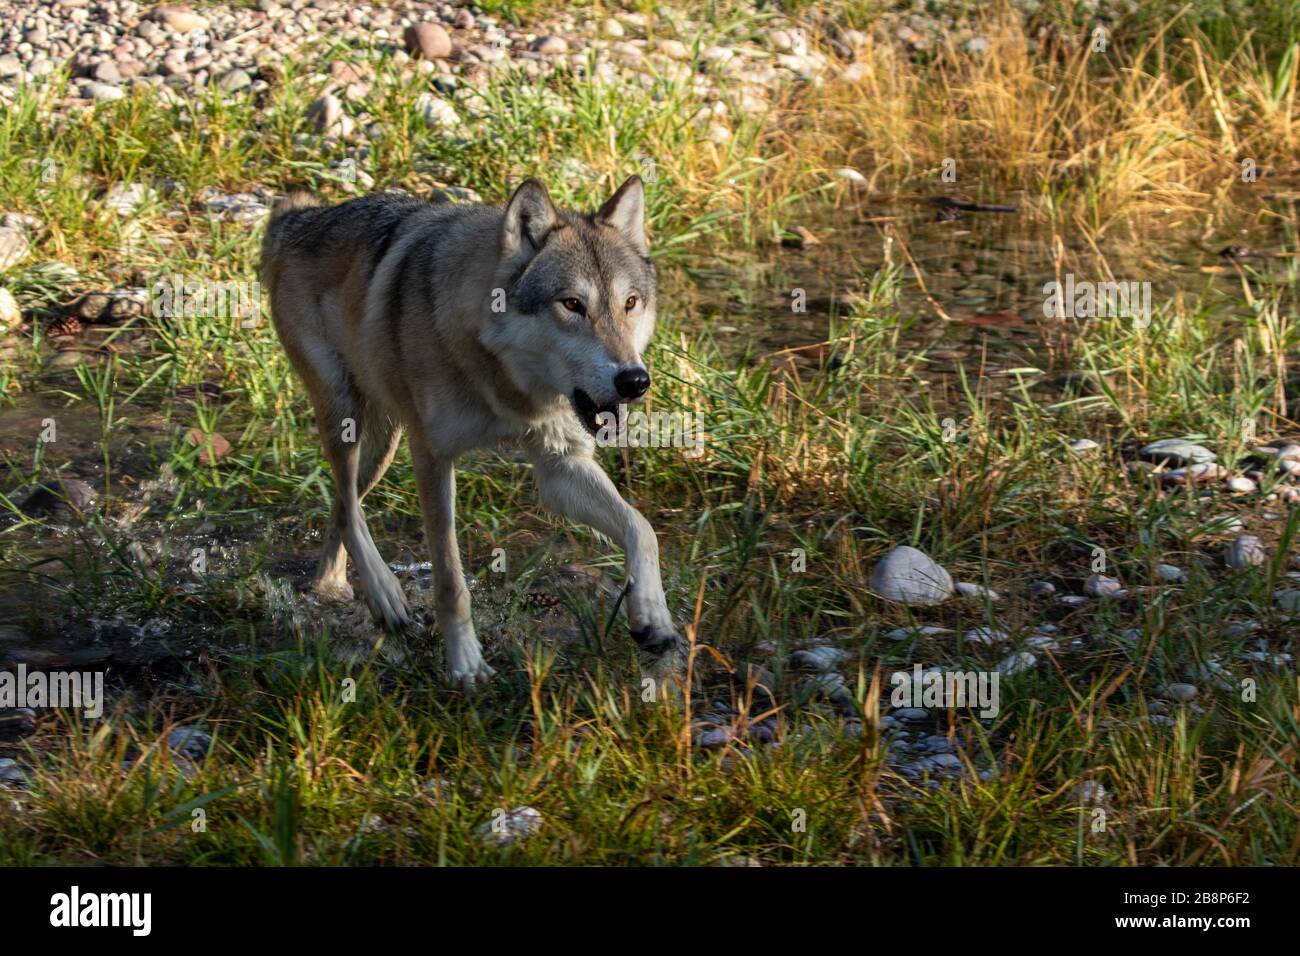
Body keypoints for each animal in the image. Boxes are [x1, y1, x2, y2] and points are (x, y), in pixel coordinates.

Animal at [261, 176, 684, 687]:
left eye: (630, 303)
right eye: (572, 304)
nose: (634, 381)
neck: (503, 383)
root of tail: (299, 217)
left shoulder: (560, 468)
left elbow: (642, 528)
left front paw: (654, 619)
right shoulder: (432, 457)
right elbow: (450, 578)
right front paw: (465, 665)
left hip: (383, 444)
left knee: (343, 507)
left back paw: (333, 587)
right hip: (346, 416)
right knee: (345, 503)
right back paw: (385, 595)